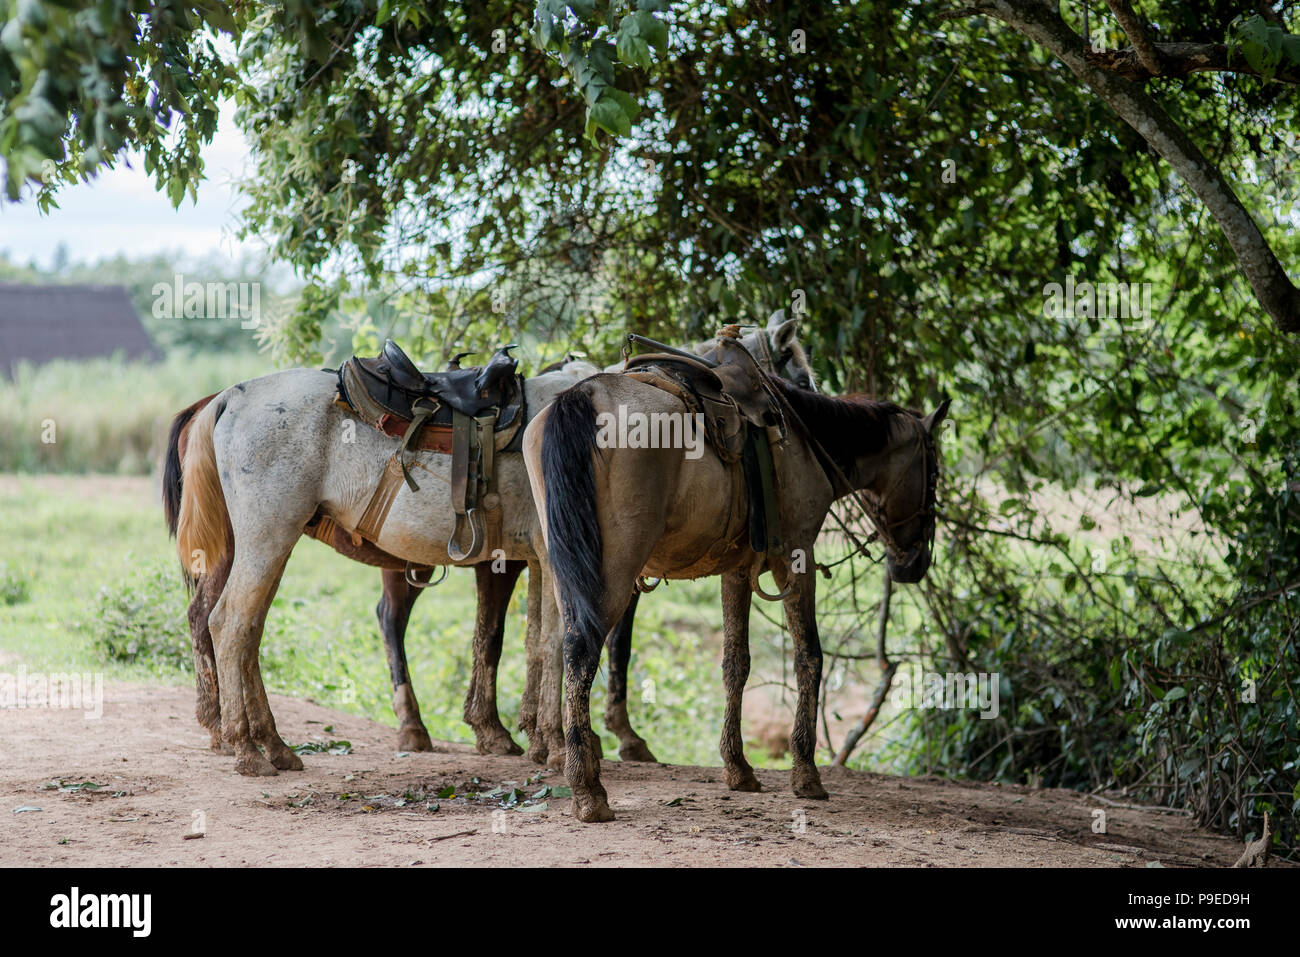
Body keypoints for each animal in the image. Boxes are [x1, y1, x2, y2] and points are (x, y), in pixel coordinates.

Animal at [167, 318, 814, 774]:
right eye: (795, 376)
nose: (786, 421)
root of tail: (229, 397)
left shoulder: (540, 561)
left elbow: (531, 642)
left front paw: (538, 739)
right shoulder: (562, 562)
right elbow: (557, 643)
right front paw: (564, 747)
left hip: (255, 546)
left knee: (236, 627)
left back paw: (269, 744)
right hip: (267, 540)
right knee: (229, 624)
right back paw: (247, 749)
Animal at [524, 358, 948, 821]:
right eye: (934, 475)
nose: (915, 564)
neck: (806, 440)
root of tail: (584, 395)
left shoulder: (738, 571)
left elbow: (735, 663)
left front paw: (738, 767)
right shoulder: (796, 557)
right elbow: (809, 657)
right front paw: (805, 773)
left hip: (562, 567)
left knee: (559, 646)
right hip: (613, 570)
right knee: (582, 649)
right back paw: (587, 789)